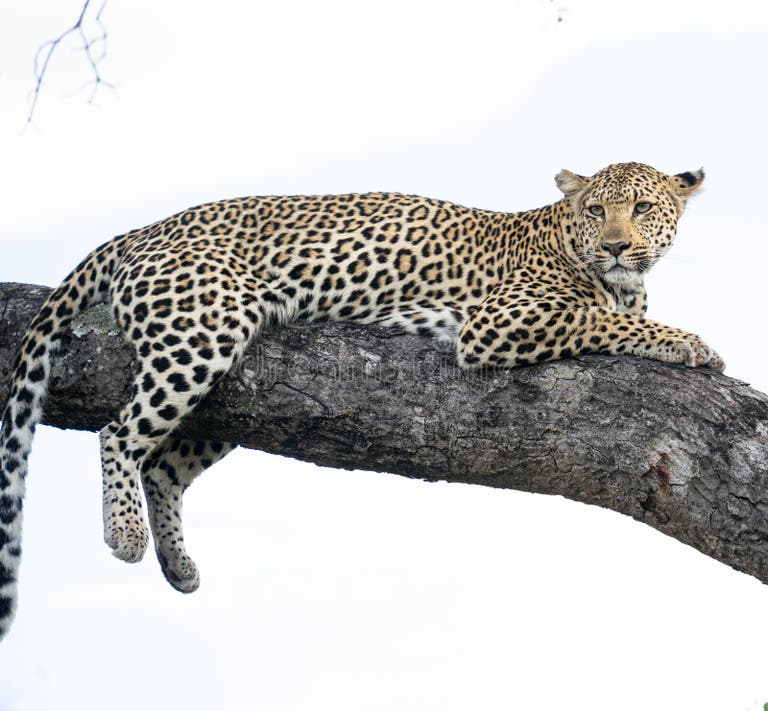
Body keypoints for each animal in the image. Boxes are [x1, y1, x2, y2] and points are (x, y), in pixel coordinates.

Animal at [0, 161, 723, 640]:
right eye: (598, 211)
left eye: (642, 208)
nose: (617, 245)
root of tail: (144, 230)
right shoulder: (499, 322)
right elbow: (607, 322)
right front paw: (691, 344)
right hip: (202, 331)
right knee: (121, 432)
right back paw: (123, 533)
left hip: (237, 388)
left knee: (163, 465)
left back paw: (178, 566)